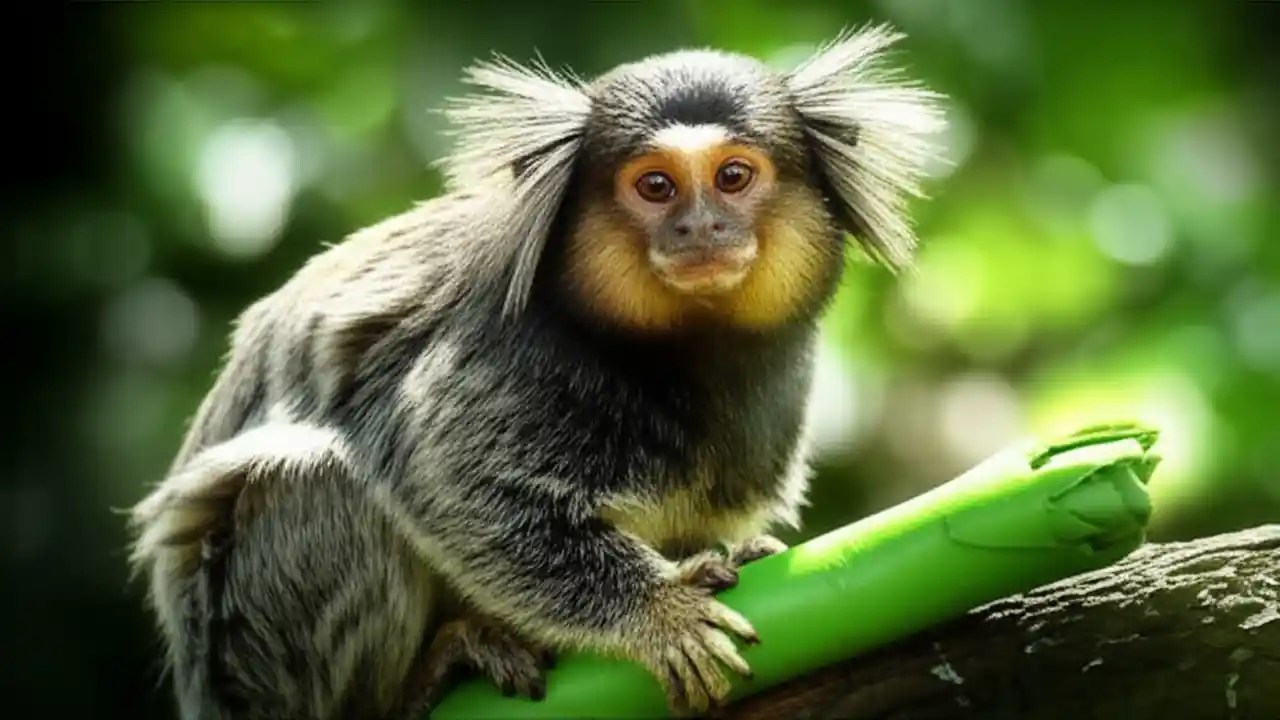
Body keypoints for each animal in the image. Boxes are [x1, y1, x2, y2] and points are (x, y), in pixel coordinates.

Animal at [127, 24, 945, 720]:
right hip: (253, 652)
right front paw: (658, 612)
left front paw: (729, 554)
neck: (680, 357)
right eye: (655, 186)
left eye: (734, 176)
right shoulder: (509, 356)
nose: (700, 228)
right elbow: (451, 480)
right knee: (325, 484)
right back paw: (434, 668)